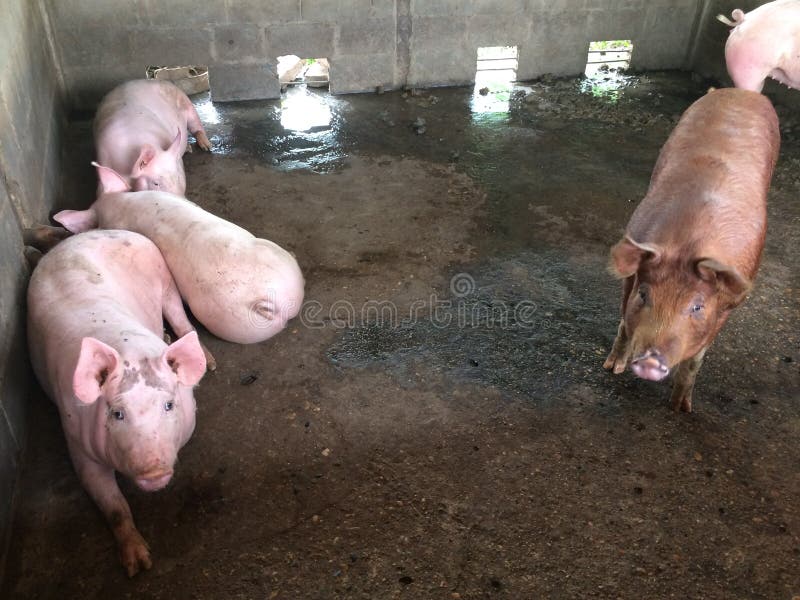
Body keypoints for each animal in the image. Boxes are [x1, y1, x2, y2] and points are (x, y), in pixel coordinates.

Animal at [27, 229, 210, 576]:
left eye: (168, 405)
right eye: (117, 413)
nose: (153, 469)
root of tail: (92, 233)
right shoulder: (78, 445)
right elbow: (113, 506)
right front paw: (138, 566)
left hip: (164, 277)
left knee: (179, 314)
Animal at [603, 87, 779, 412]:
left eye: (697, 307)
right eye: (644, 294)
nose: (649, 362)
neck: (687, 247)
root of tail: (742, 92)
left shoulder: (729, 304)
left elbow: (696, 360)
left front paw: (680, 409)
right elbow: (624, 320)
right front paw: (613, 368)